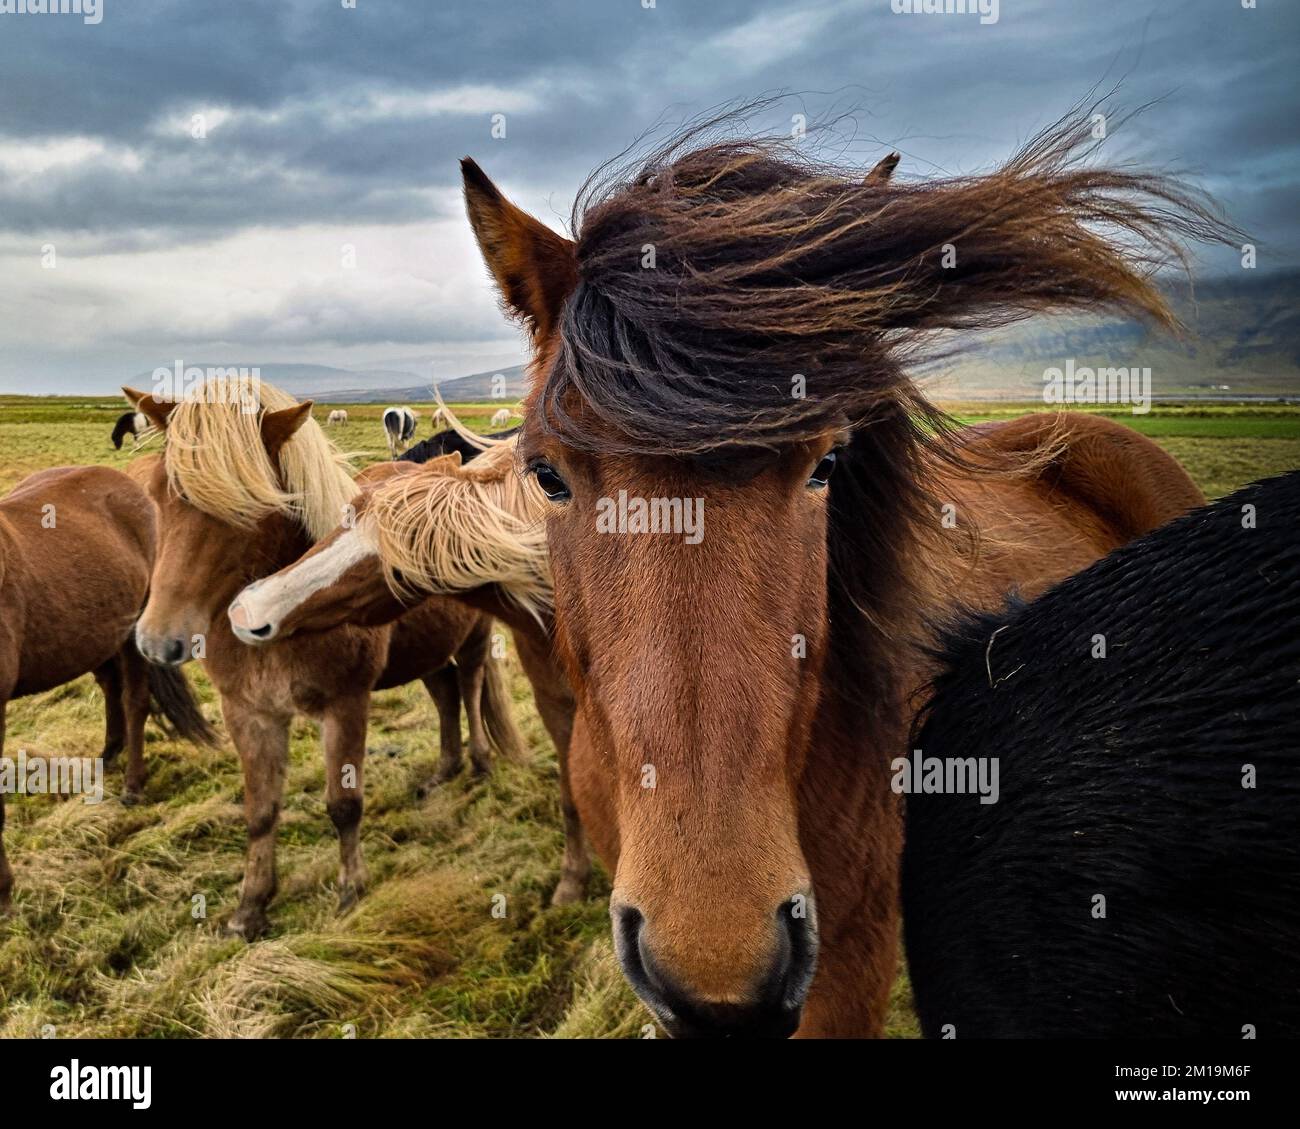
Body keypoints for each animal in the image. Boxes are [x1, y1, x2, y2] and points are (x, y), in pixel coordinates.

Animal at [0, 465, 215, 912]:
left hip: (133, 635)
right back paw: (107, 757)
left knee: (133, 701)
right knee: (111, 689)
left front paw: (4, 892)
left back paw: (132, 784)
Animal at [124, 379, 523, 939]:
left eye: (249, 505)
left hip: (472, 639)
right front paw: (250, 908)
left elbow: (343, 805)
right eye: (160, 492)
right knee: (445, 693)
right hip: (424, 650)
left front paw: (351, 892)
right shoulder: (249, 712)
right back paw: (443, 772)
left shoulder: (345, 706)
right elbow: (261, 811)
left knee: (469, 685)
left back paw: (481, 765)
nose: (159, 641)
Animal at [223, 436, 592, 906]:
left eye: (402, 564)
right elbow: (573, 795)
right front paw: (573, 881)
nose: (249, 610)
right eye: (348, 513)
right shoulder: (555, 702)